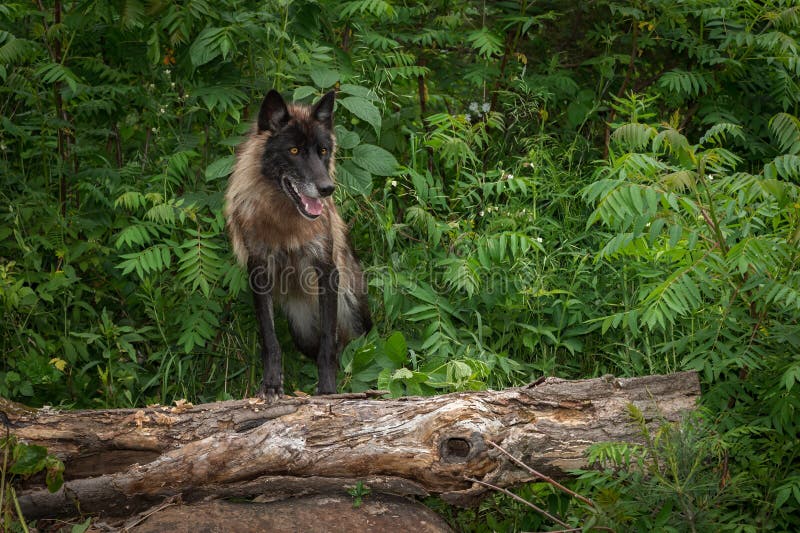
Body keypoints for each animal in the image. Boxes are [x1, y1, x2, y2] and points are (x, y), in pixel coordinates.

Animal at [224, 89, 371, 400]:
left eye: (323, 151)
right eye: (293, 151)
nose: (327, 189)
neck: (284, 222)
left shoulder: (326, 270)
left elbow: (328, 342)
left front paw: (327, 390)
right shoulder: (258, 272)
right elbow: (270, 340)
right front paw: (271, 385)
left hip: (352, 310)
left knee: (346, 343)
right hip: (301, 331)